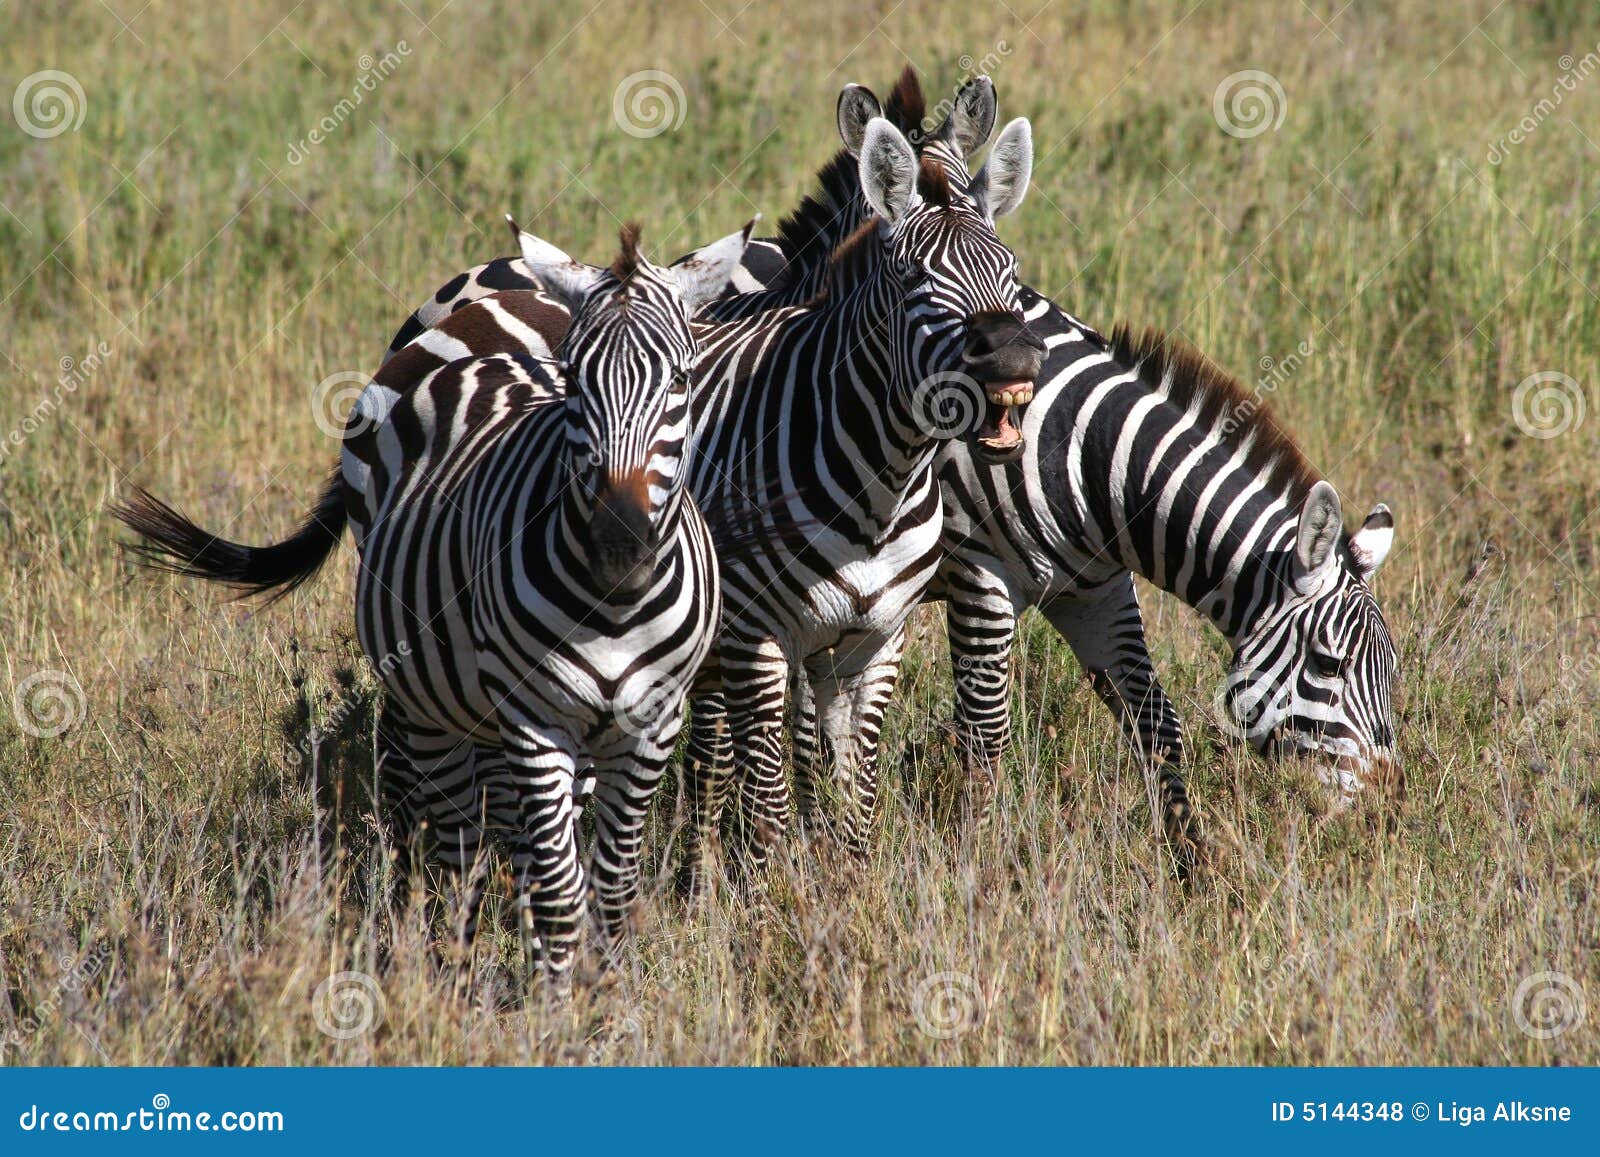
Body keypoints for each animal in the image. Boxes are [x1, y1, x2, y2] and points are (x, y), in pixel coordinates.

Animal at [114, 220, 751, 974]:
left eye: (682, 379)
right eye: (574, 382)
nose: (618, 544)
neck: (615, 608)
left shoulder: (652, 724)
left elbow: (612, 890)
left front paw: (608, 987)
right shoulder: (535, 719)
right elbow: (562, 891)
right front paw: (555, 993)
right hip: (430, 694)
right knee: (454, 835)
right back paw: (450, 953)